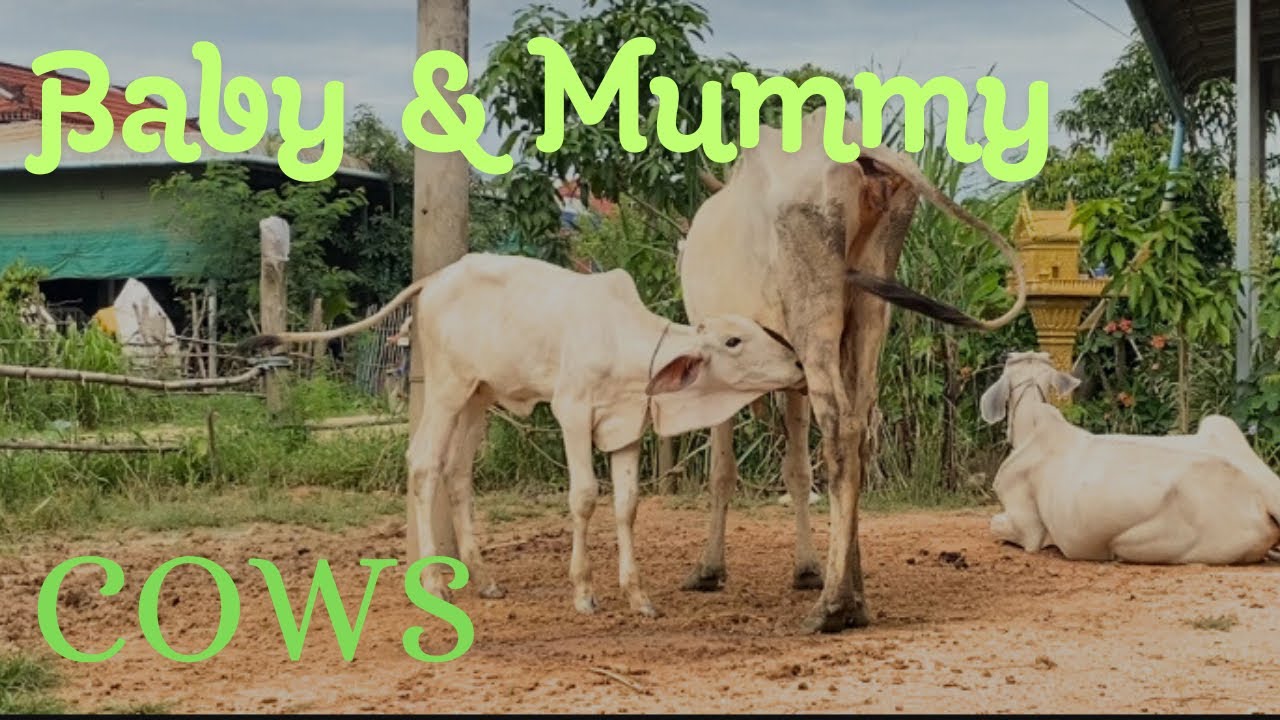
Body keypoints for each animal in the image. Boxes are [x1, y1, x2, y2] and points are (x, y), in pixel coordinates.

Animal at [244, 252, 806, 617]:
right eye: (734, 341)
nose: (799, 364)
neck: (625, 341)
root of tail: (435, 278)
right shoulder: (572, 412)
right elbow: (585, 496)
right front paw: (583, 592)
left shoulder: (626, 429)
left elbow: (627, 506)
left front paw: (638, 596)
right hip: (447, 387)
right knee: (423, 463)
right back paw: (434, 583)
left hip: (479, 396)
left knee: (457, 473)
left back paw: (483, 580)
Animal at [680, 107, 1029, 632]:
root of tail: (858, 145)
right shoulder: (789, 372)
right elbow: (796, 469)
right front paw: (807, 568)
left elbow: (722, 469)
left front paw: (708, 570)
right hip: (871, 299)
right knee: (858, 429)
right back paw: (854, 594)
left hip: (816, 313)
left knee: (840, 429)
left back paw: (834, 605)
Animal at [980, 351, 1280, 565]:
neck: (1033, 424)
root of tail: (1265, 490)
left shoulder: (1028, 529)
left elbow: (996, 525)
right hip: (1219, 424)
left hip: (1136, 543)